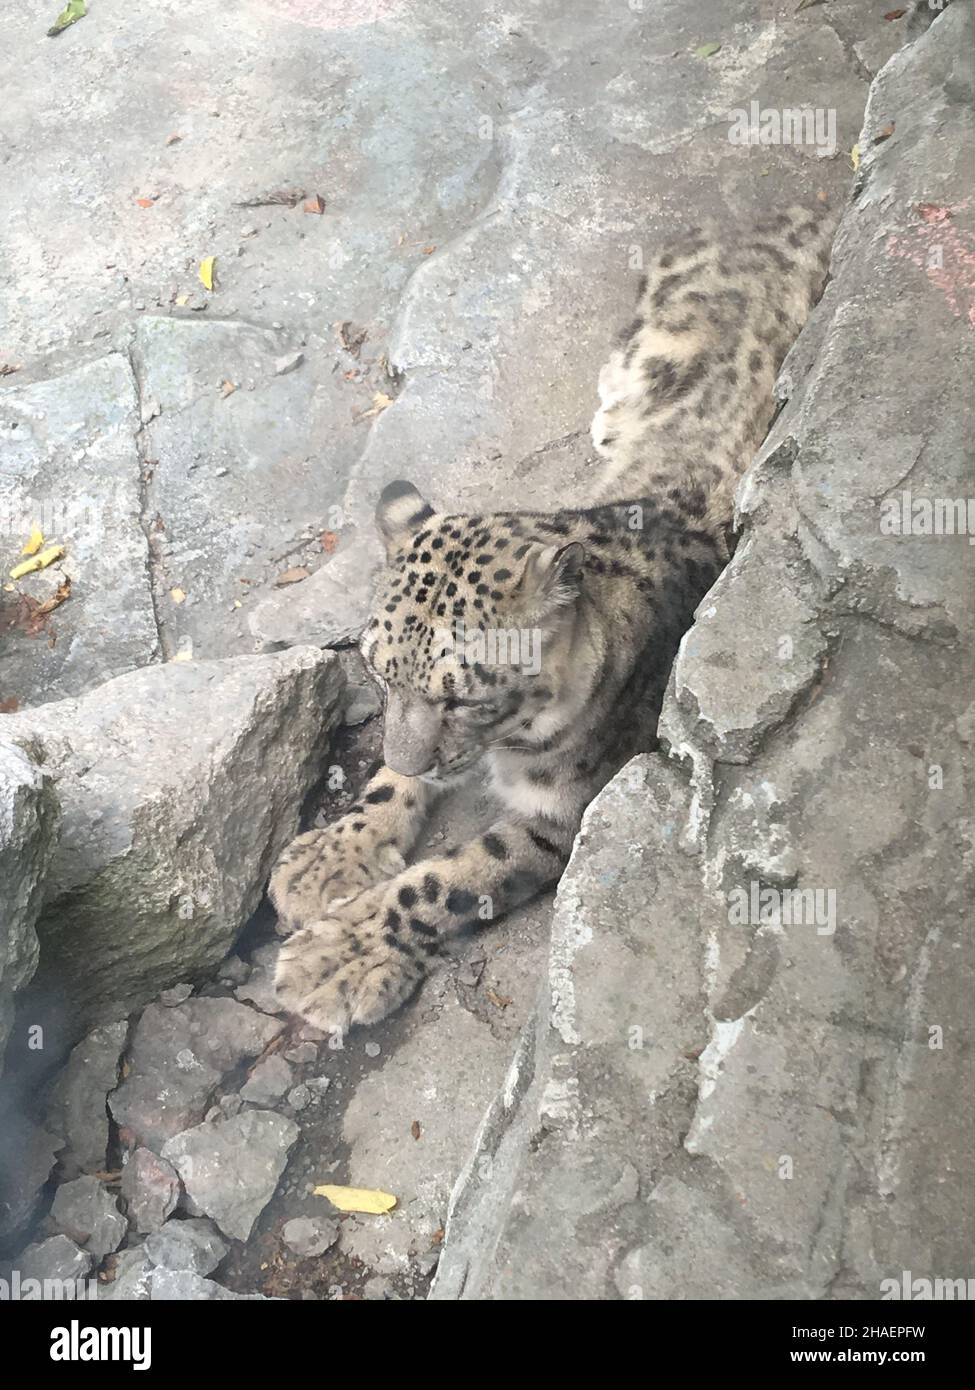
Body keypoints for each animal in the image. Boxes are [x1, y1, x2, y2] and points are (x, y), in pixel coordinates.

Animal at [270, 202, 836, 1035]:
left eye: (464, 696)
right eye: (377, 670)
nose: (414, 757)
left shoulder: (565, 811)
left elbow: (449, 881)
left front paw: (337, 956)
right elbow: (385, 787)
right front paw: (327, 856)